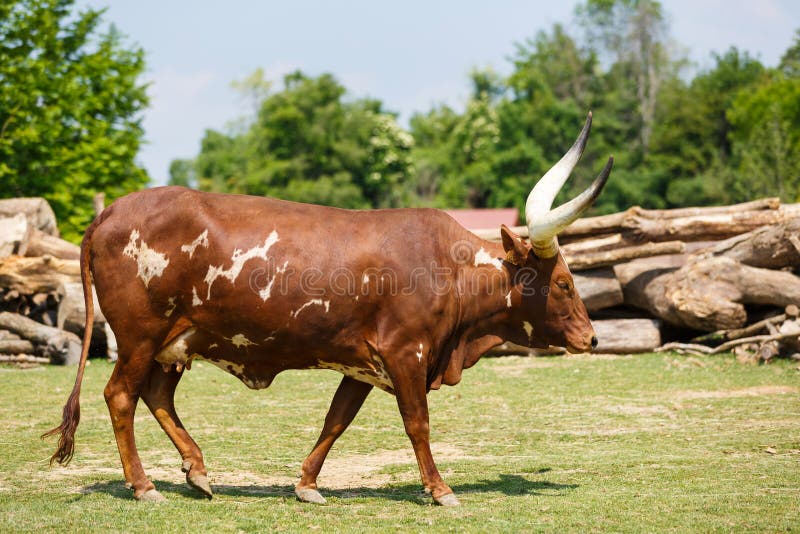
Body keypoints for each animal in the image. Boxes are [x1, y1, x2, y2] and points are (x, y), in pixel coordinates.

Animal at [44, 113, 612, 506]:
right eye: (564, 282)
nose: (591, 338)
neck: (449, 266)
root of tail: (111, 212)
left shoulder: (362, 363)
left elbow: (336, 420)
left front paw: (306, 484)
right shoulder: (406, 354)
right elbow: (417, 424)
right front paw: (440, 489)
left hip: (175, 342)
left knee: (157, 395)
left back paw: (198, 472)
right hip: (139, 336)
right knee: (121, 396)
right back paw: (144, 486)